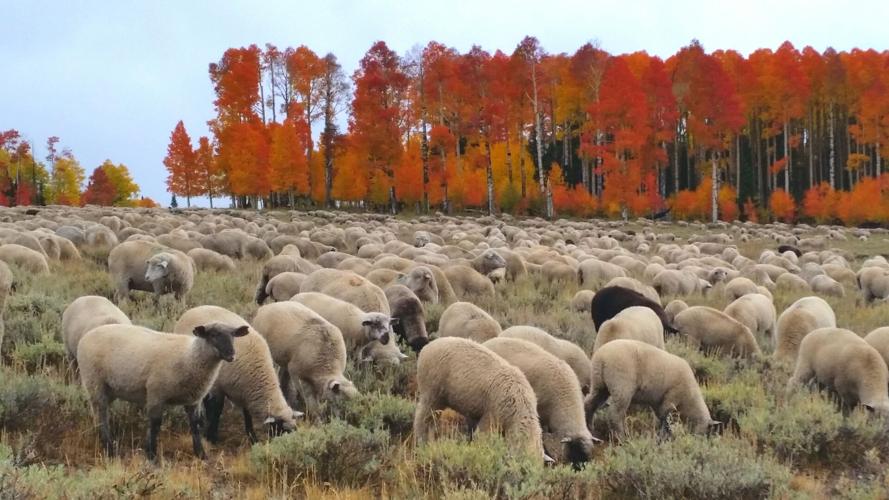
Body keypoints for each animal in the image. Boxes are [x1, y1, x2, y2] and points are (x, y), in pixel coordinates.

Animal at [77, 322, 249, 460]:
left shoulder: (193, 399)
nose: (231, 355)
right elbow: (155, 424)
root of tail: (85, 337)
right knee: (101, 415)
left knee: (98, 413)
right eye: (213, 335)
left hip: (108, 389)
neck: (190, 356)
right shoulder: (156, 393)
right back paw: (110, 450)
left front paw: (201, 454)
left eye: (233, 335)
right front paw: (152, 454)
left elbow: (195, 425)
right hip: (94, 382)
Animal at [173, 306, 301, 443]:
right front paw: (211, 437)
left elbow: (247, 415)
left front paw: (253, 438)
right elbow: (216, 411)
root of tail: (195, 308)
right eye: (281, 429)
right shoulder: (218, 388)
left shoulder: (245, 393)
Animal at [413, 337, 547, 462]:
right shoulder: (492, 413)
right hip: (432, 391)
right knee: (423, 418)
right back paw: (424, 442)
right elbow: (483, 435)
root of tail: (427, 347)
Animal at [585, 339, 718, 436]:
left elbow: (660, 417)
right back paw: (622, 436)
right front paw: (664, 435)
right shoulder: (671, 398)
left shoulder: (657, 401)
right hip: (622, 385)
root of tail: (601, 357)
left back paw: (590, 427)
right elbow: (665, 418)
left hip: (599, 383)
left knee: (590, 402)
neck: (690, 398)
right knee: (615, 414)